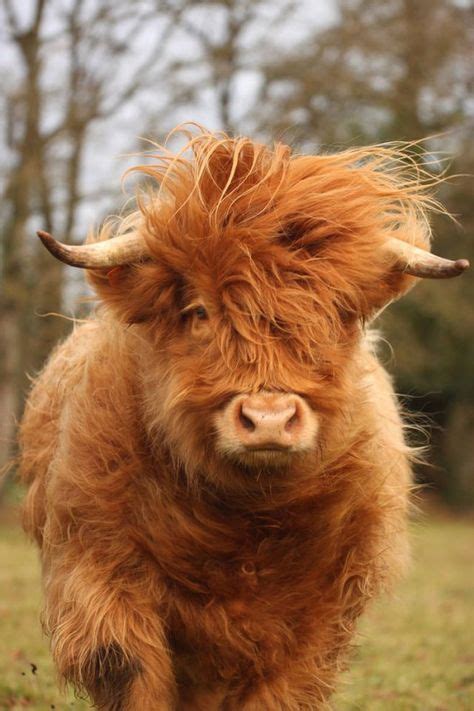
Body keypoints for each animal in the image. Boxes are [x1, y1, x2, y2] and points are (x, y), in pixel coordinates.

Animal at [19, 127, 468, 710]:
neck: (240, 522)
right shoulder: (99, 573)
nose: (270, 419)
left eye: (335, 315)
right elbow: (132, 673)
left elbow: (282, 689)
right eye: (199, 311)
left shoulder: (321, 612)